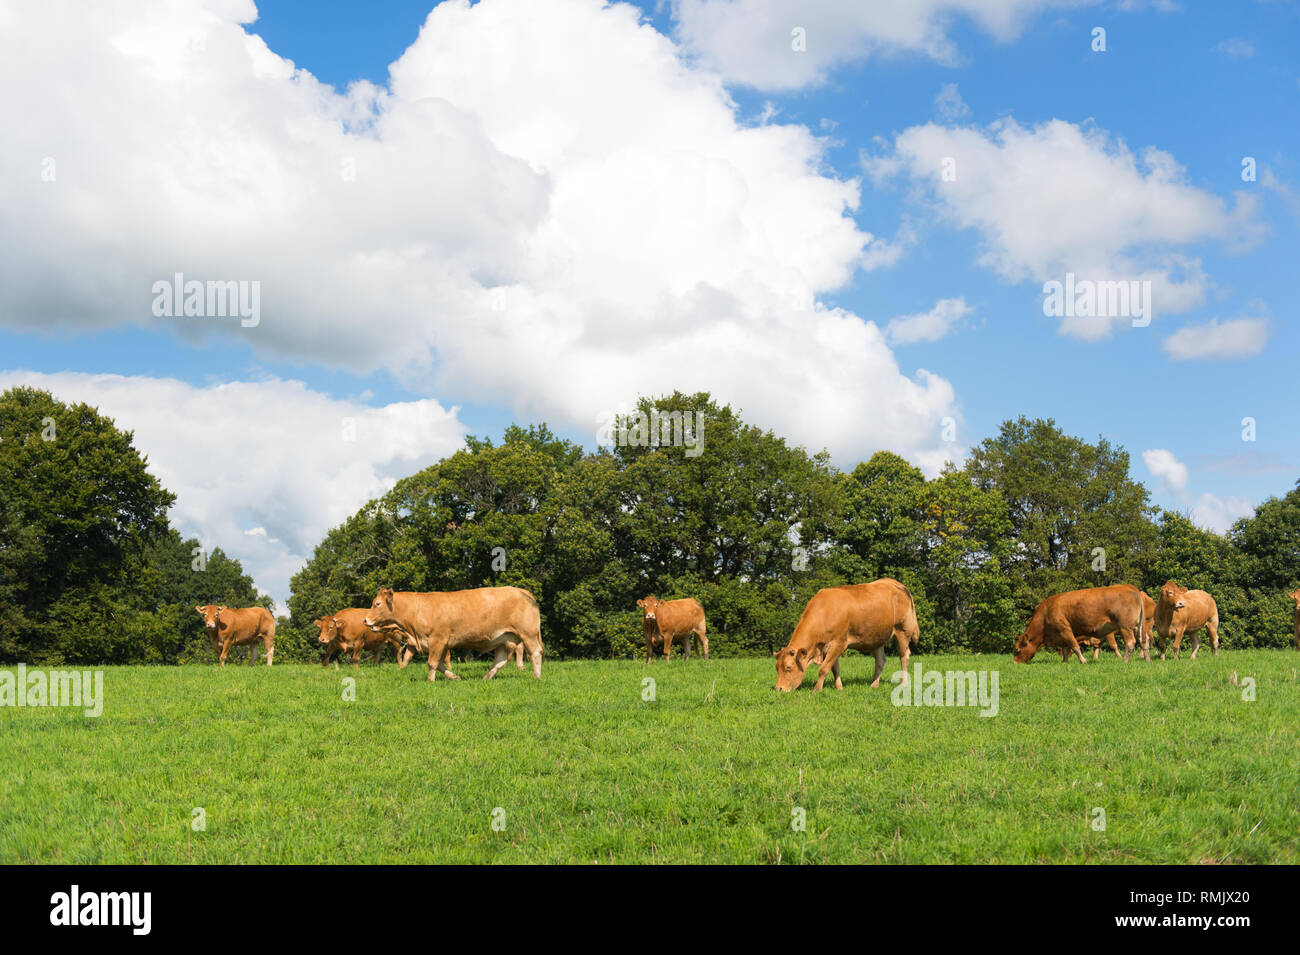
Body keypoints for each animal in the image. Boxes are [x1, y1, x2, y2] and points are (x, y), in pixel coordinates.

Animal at [364, 586, 543, 682]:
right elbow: (439, 664)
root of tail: (521, 591)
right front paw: (454, 677)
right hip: (504, 638)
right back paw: (486, 677)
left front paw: (430, 680)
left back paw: (537, 675)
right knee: (501, 660)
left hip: (527, 633)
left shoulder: (438, 639)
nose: (365, 620)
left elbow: (432, 663)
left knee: (535, 652)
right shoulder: (438, 644)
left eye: (377, 604)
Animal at [773, 578, 918, 692]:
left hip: (903, 630)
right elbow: (834, 668)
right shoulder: (828, 646)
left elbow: (824, 668)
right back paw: (874, 684)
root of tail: (896, 583)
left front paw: (816, 690)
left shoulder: (839, 643)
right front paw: (839, 688)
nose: (779, 689)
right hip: (878, 635)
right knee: (880, 660)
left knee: (904, 656)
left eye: (788, 668)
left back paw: (903, 683)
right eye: (776, 668)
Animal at [1012, 584, 1144, 664]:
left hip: (1125, 627)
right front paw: (1064, 662)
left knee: (1130, 643)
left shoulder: (1065, 629)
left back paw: (1125, 660)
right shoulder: (1061, 635)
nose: (1014, 662)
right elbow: (1066, 649)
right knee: (1142, 641)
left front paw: (1083, 660)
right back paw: (1145, 658)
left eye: (1017, 650)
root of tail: (1129, 586)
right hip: (1138, 627)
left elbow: (1074, 646)